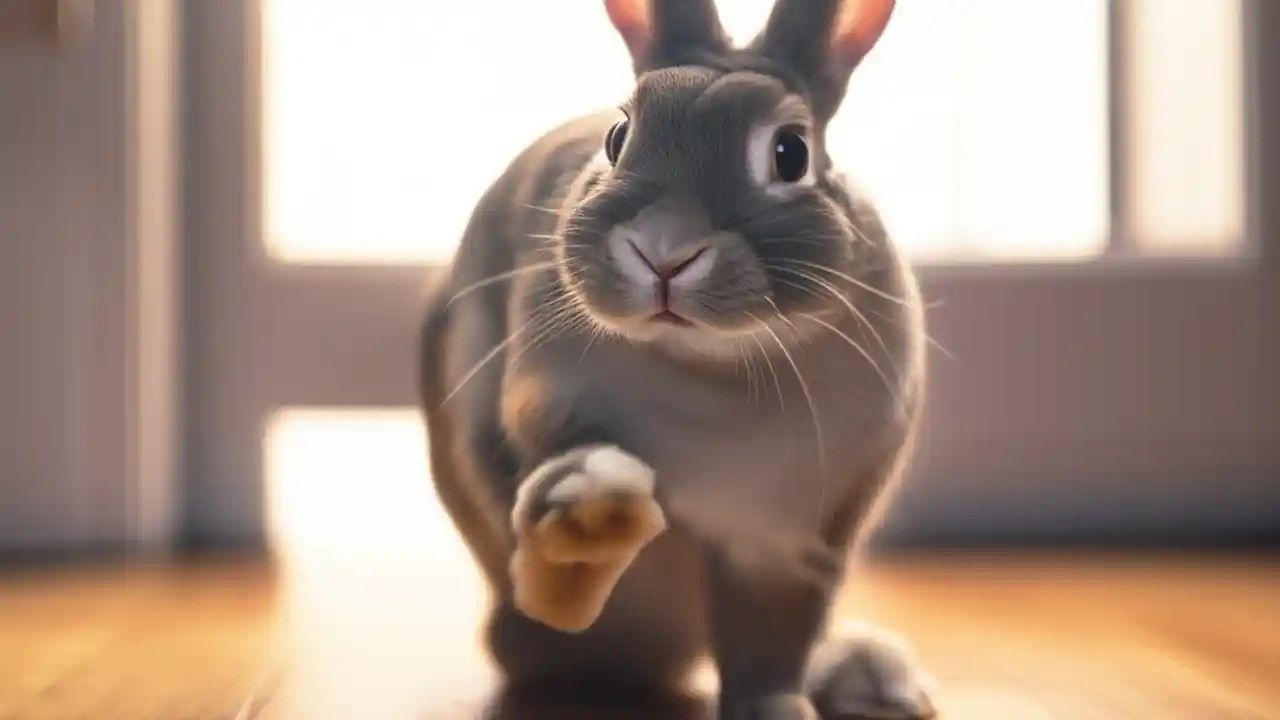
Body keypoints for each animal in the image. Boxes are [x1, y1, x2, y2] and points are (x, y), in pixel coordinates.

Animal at [417, 1, 936, 718]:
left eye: (790, 154)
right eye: (618, 138)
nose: (664, 248)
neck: (710, 367)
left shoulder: (788, 547)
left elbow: (771, 649)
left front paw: (776, 710)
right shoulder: (543, 410)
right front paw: (585, 519)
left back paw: (871, 676)